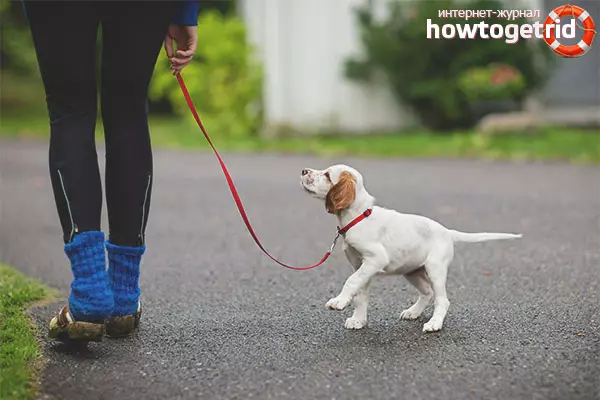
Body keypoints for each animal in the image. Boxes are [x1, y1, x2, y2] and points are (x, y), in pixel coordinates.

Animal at [300, 164, 520, 332]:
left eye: (327, 175)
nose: (303, 171)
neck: (359, 216)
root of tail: (447, 232)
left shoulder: (375, 259)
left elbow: (351, 281)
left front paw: (338, 302)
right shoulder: (361, 266)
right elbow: (360, 294)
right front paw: (358, 320)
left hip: (435, 269)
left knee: (442, 299)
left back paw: (434, 323)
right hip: (412, 270)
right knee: (427, 293)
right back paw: (413, 312)